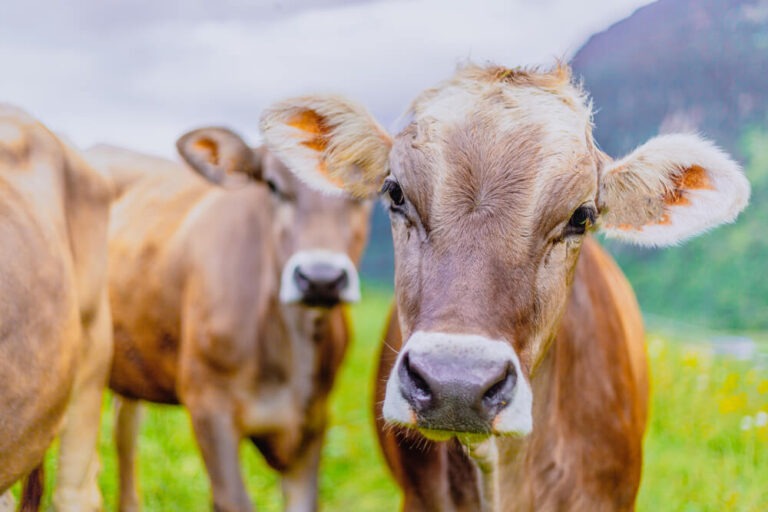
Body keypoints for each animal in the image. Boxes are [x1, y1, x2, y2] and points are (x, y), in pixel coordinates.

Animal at [84, 126, 373, 512]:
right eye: (272, 185)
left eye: (371, 188)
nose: (321, 278)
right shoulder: (209, 407)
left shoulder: (313, 421)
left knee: (125, 429)